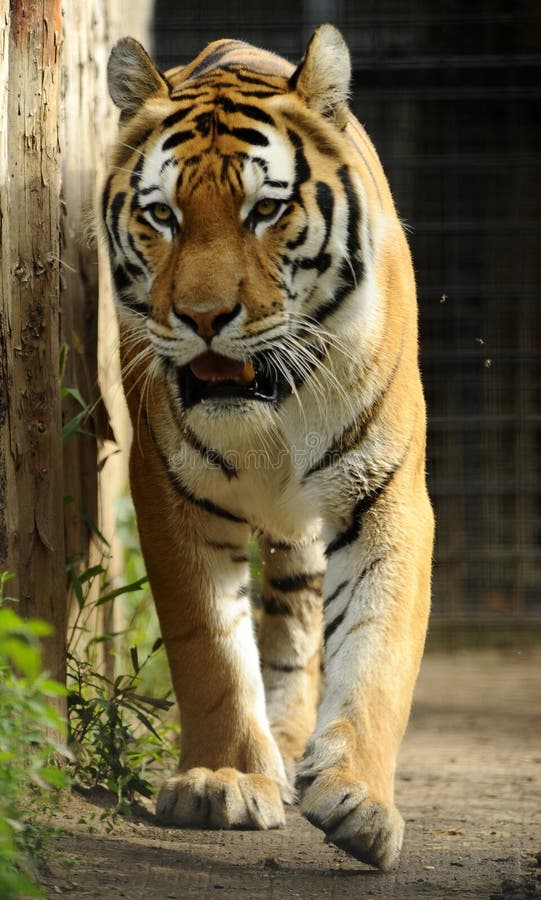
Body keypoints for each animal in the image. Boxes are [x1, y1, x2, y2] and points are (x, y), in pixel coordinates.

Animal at [102, 24, 434, 870]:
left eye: (266, 210)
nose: (203, 317)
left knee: (299, 625)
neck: (271, 412)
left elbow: (376, 650)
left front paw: (358, 800)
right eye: (162, 214)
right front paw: (220, 780)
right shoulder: (171, 494)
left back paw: (292, 746)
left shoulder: (387, 497)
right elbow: (211, 650)